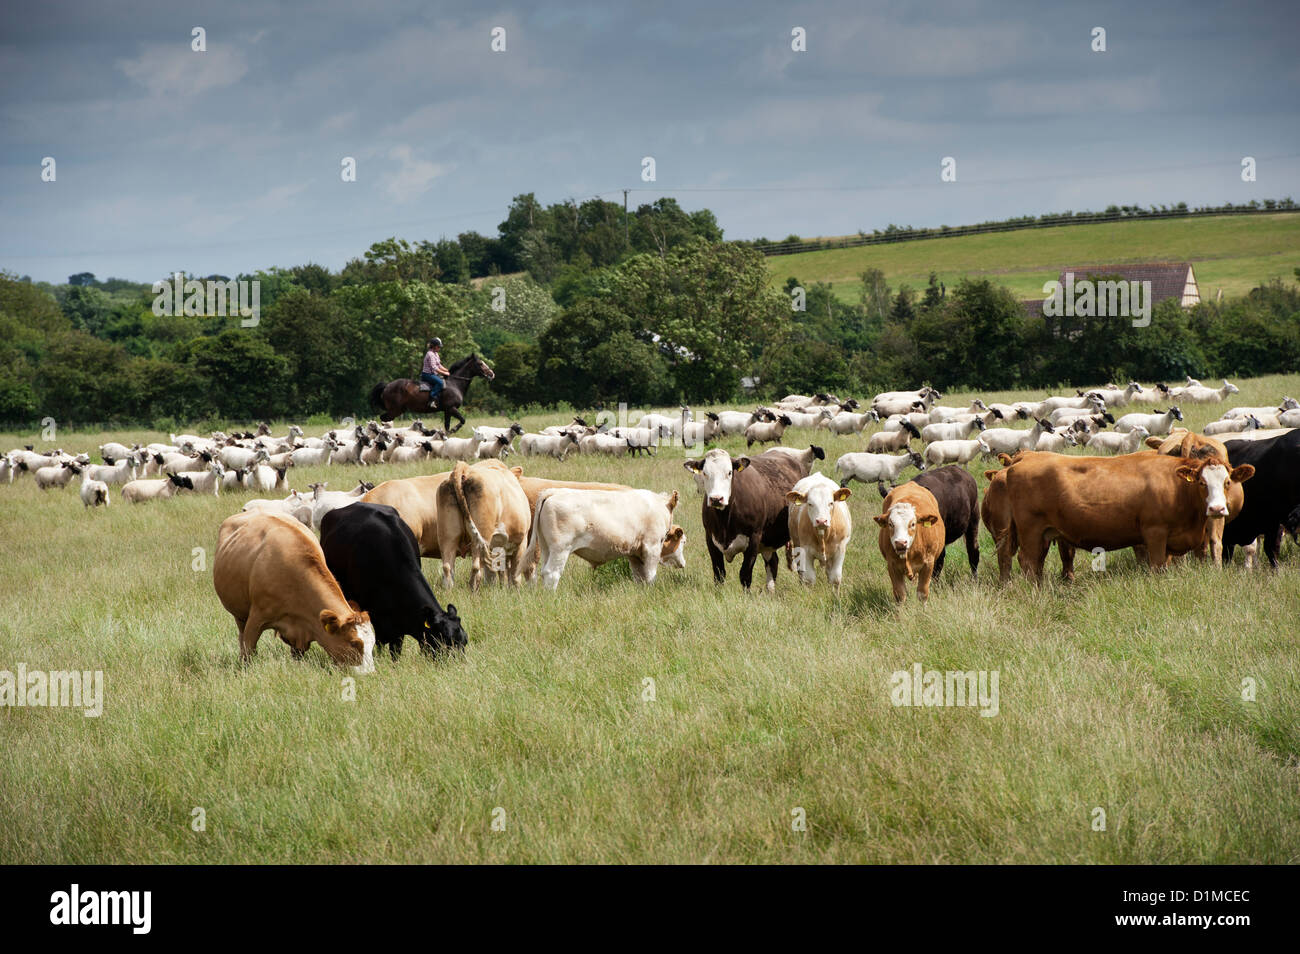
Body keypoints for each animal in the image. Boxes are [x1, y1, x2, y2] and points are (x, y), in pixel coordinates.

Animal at [213, 510, 376, 671]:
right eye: (353, 643)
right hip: (240, 614)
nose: (369, 674)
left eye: (373, 642)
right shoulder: (256, 619)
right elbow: (248, 651)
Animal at [320, 502, 466, 658]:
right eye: (444, 643)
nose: (460, 663)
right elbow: (379, 643)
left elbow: (396, 649)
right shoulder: (377, 617)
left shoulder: (398, 623)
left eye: (464, 642)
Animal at [683, 447, 805, 591]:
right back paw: (770, 590)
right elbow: (719, 573)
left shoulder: (754, 538)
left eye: (729, 472)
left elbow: (745, 574)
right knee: (772, 561)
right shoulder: (710, 538)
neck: (725, 521)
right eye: (705, 473)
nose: (716, 499)